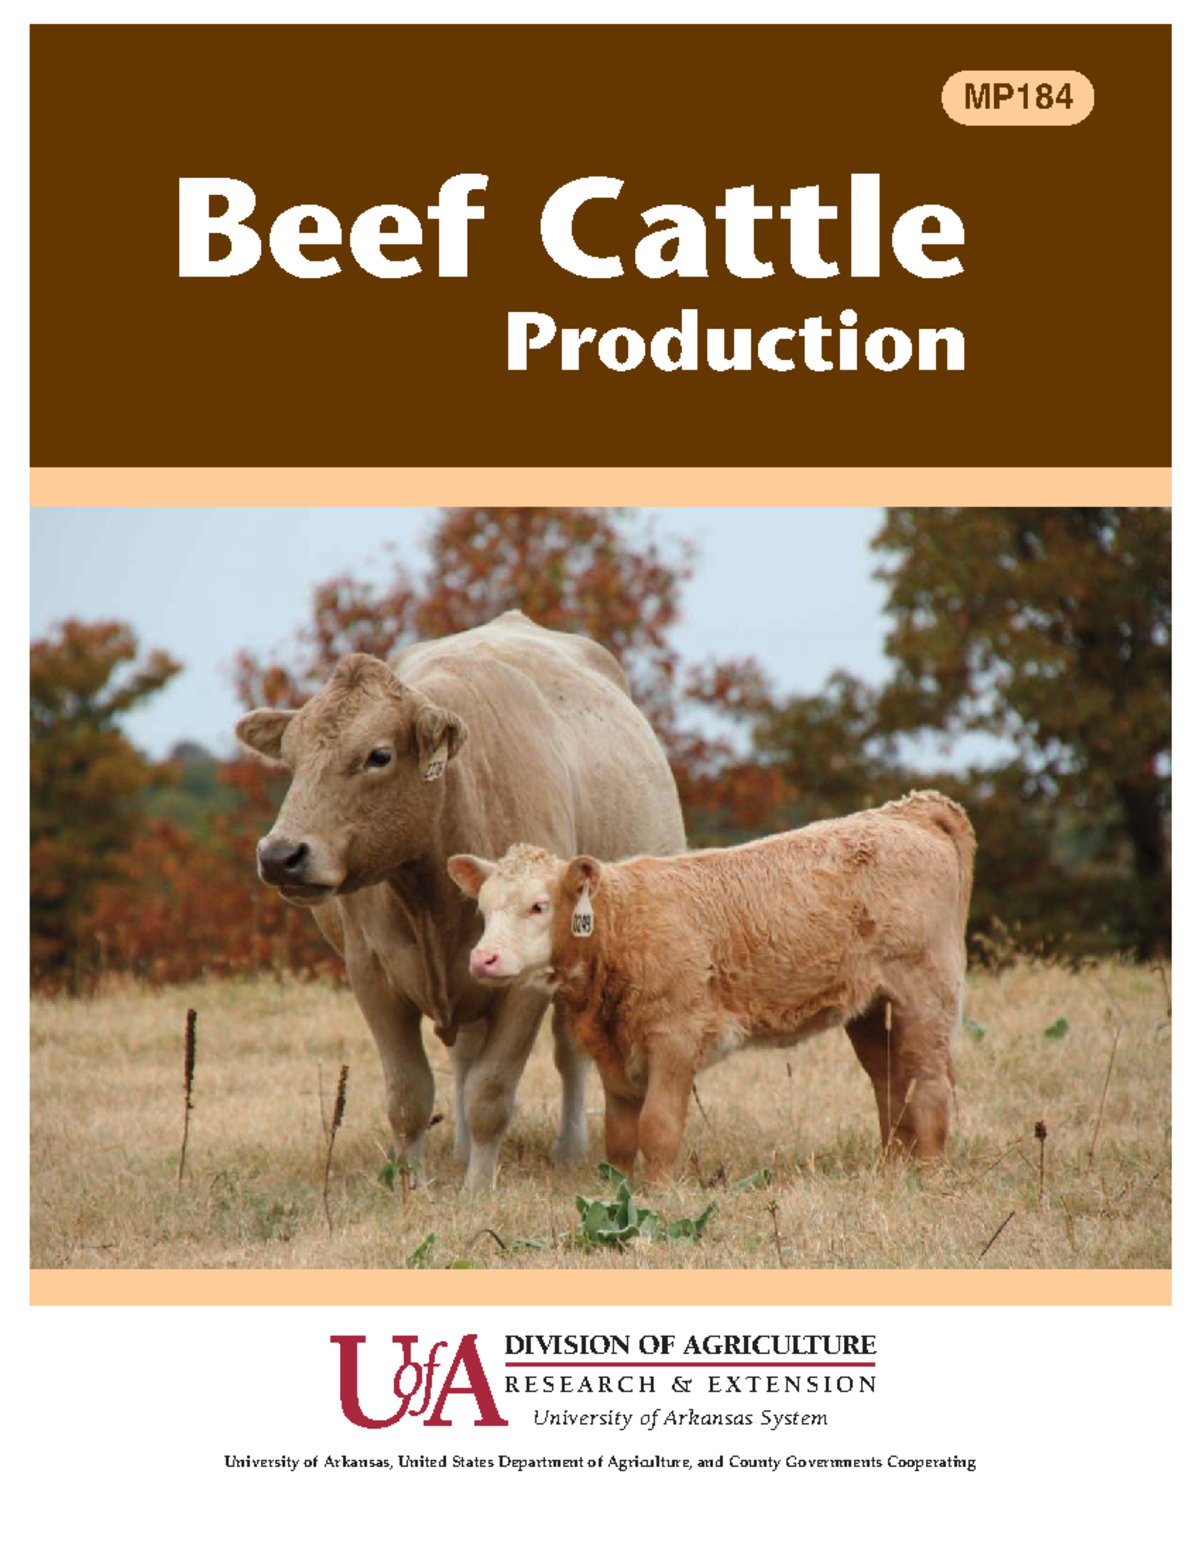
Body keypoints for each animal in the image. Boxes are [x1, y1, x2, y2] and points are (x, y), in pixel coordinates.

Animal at [236, 611, 685, 1191]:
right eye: (290, 759)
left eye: (378, 755)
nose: (280, 855)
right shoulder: (370, 973)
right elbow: (409, 1094)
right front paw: (412, 1185)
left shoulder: (528, 985)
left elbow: (491, 1093)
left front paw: (476, 1190)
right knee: (465, 1052)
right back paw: (461, 1149)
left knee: (568, 1056)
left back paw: (566, 1149)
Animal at [447, 791, 976, 1182]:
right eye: (484, 908)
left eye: (539, 905)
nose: (483, 958)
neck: (623, 926)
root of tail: (903, 811)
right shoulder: (612, 1050)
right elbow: (620, 1135)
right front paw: (619, 1189)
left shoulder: (675, 1038)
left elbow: (657, 1126)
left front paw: (658, 1193)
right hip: (867, 1007)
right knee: (889, 1079)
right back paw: (893, 1169)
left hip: (926, 993)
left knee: (928, 1080)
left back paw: (930, 1174)